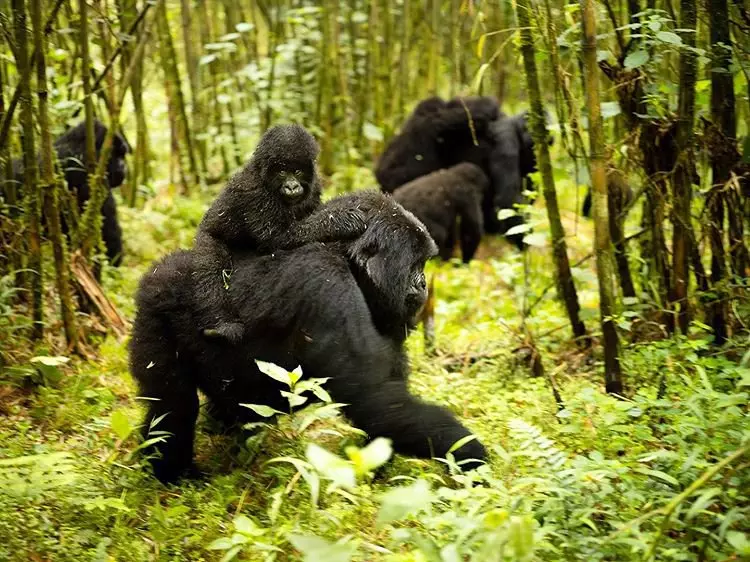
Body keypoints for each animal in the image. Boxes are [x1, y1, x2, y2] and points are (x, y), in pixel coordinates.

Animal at [129, 189, 488, 482]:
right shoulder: (325, 282)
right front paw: (468, 452)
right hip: (155, 309)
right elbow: (374, 403)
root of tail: (162, 267)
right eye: (416, 264)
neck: (345, 256)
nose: (423, 284)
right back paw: (173, 473)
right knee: (174, 405)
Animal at [194, 123, 368, 342]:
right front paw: (342, 220)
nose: (292, 186)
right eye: (282, 172)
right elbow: (279, 238)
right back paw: (223, 323)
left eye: (297, 171)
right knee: (211, 269)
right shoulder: (255, 192)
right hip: (206, 238)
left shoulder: (315, 185)